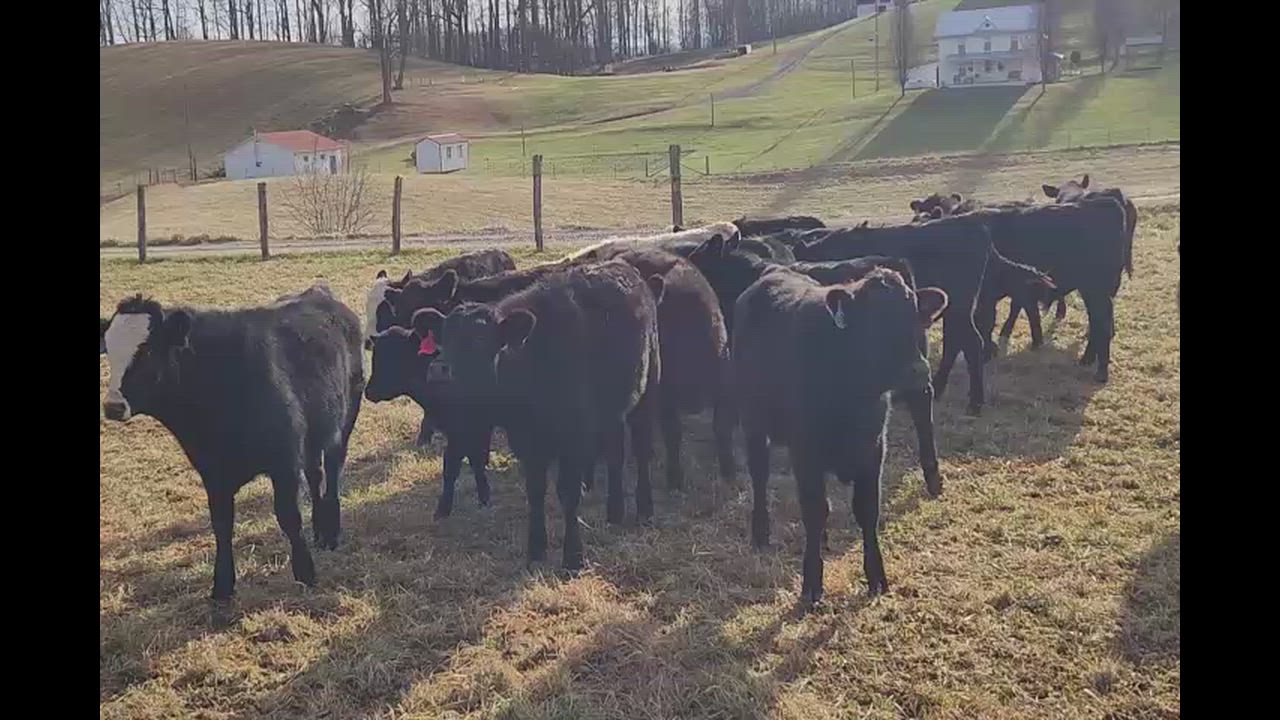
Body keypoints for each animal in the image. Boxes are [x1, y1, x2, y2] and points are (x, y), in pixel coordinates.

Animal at [99, 284, 364, 599]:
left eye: (147, 350)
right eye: (109, 351)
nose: (113, 406)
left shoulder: (284, 462)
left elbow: (288, 516)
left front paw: (306, 573)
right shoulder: (212, 470)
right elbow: (222, 524)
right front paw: (222, 585)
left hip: (345, 419)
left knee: (333, 470)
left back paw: (332, 532)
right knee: (316, 474)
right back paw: (320, 531)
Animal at [413, 260, 663, 569]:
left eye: (481, 340)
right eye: (444, 339)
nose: (439, 370)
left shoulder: (573, 438)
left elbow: (568, 493)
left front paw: (573, 557)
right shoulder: (527, 442)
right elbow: (535, 492)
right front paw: (535, 549)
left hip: (648, 390)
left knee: (641, 450)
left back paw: (645, 510)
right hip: (611, 411)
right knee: (616, 453)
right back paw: (614, 512)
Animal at [732, 265, 948, 603]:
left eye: (914, 316)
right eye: (874, 323)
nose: (918, 370)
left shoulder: (873, 449)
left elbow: (867, 509)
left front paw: (877, 577)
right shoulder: (805, 452)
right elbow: (814, 509)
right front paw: (811, 584)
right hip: (752, 422)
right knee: (759, 475)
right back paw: (761, 533)